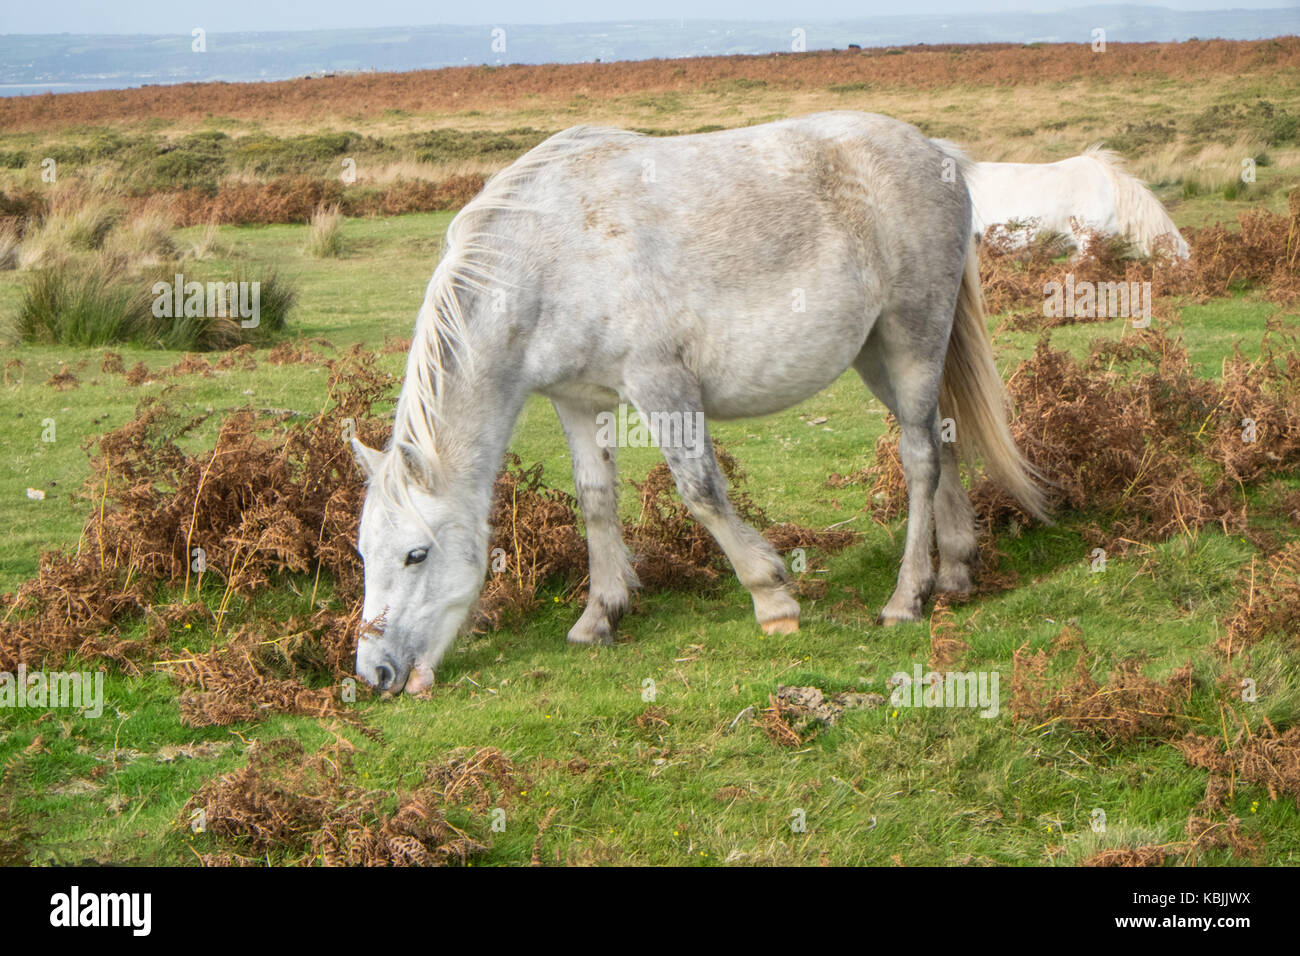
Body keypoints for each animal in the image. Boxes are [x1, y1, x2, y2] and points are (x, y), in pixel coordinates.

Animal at [349, 111, 1049, 695]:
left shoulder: (662, 386)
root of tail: (937, 153)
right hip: (881, 357)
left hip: (912, 340)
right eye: (362, 553)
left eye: (416, 554)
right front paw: (599, 616)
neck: (545, 256)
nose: (375, 673)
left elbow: (702, 492)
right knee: (940, 441)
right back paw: (953, 575)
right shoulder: (576, 401)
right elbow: (596, 501)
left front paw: (772, 598)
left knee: (920, 459)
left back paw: (906, 598)